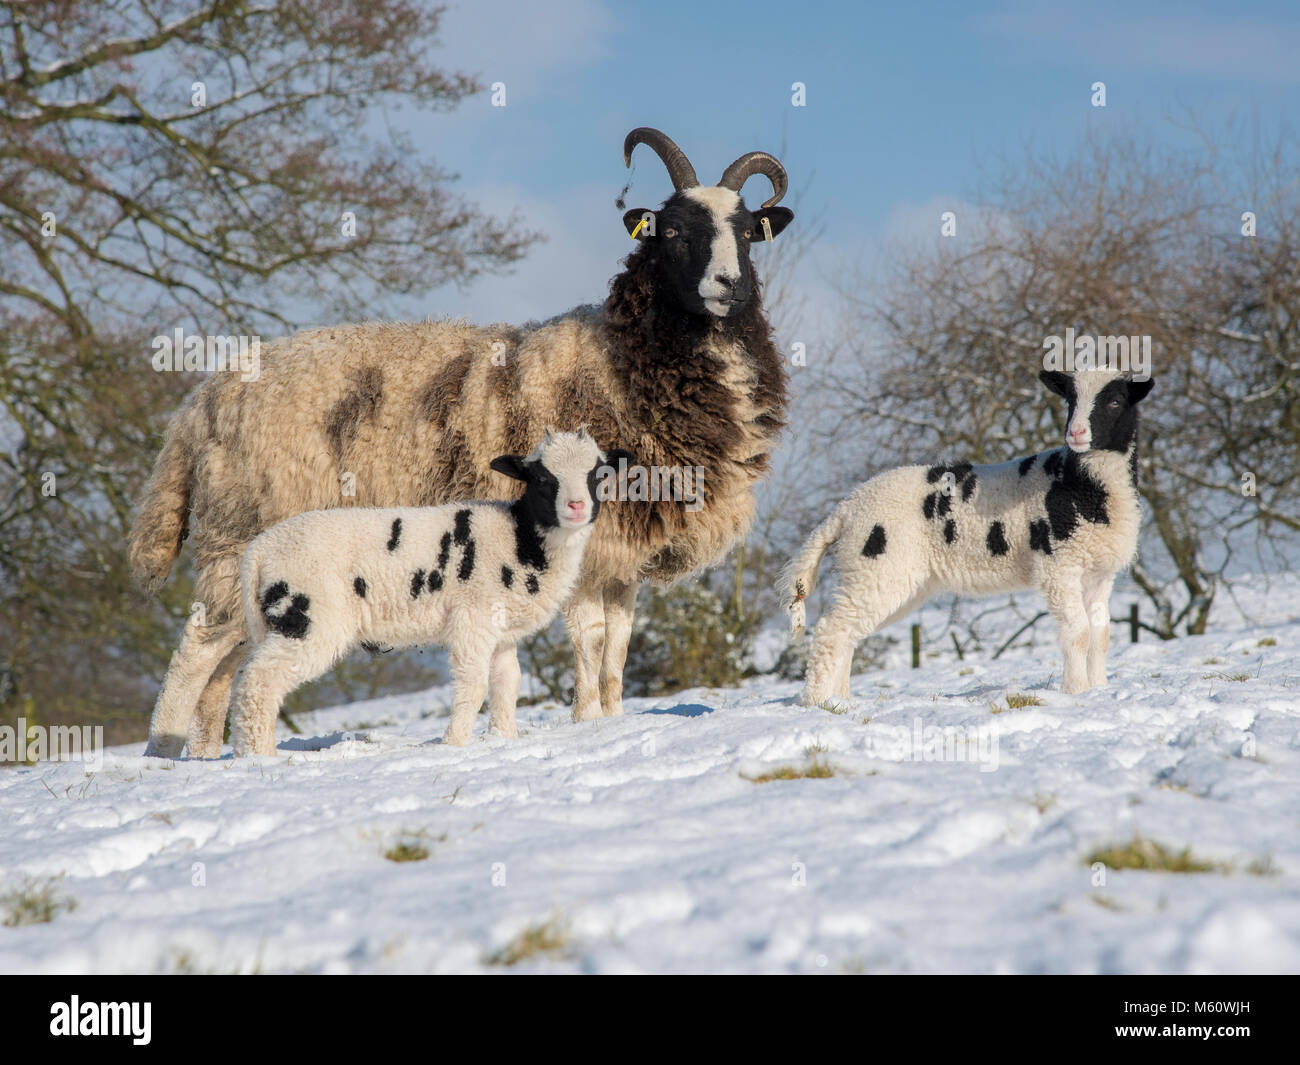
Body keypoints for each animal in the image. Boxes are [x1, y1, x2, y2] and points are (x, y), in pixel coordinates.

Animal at [228, 430, 632, 754]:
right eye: (542, 478)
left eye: (598, 474)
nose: (576, 506)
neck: (522, 539)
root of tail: (259, 551)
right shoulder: (473, 618)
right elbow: (473, 684)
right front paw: (455, 744)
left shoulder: (502, 631)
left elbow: (506, 683)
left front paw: (503, 739)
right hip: (307, 618)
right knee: (258, 683)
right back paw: (260, 756)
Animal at [780, 369, 1155, 705]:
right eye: (1070, 400)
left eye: (1115, 401)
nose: (1075, 433)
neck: (1082, 488)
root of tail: (844, 510)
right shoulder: (1059, 566)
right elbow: (1078, 633)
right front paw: (1076, 693)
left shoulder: (1099, 573)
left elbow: (1101, 635)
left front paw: (1098, 690)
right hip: (875, 566)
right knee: (831, 629)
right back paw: (817, 702)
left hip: (881, 576)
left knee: (848, 633)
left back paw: (839, 701)